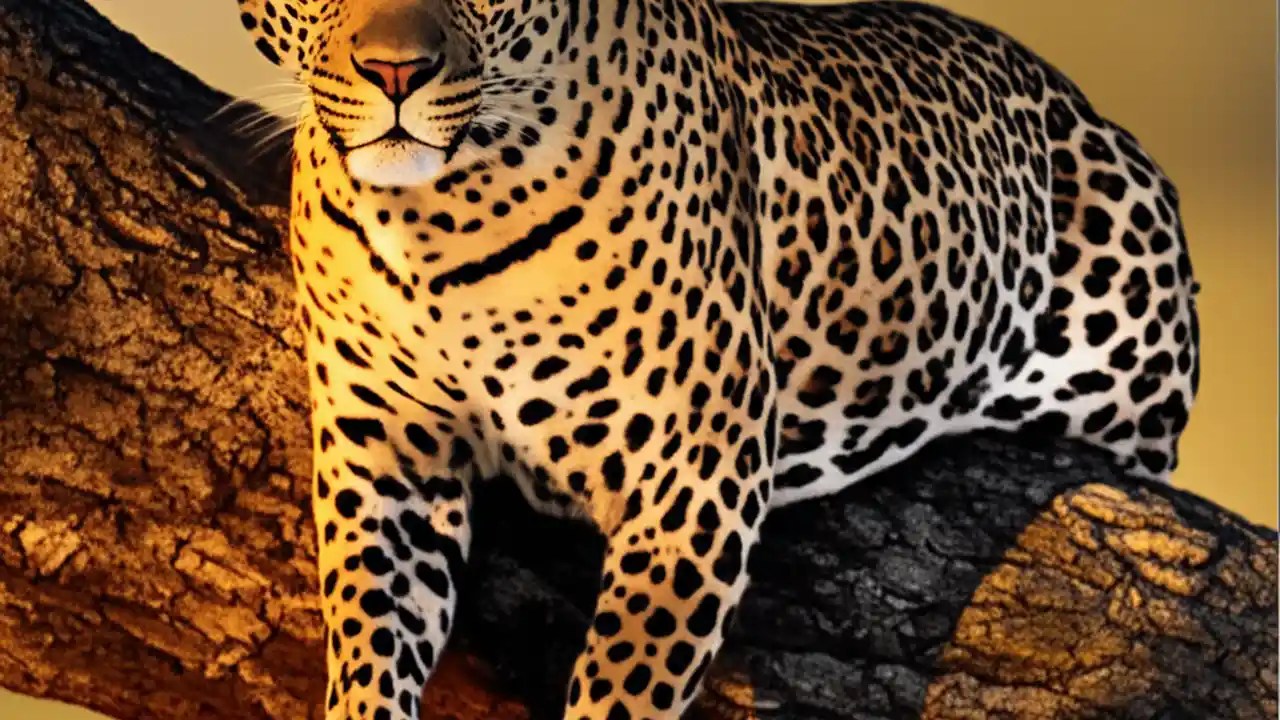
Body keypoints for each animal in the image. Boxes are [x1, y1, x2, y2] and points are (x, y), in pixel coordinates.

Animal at [233, 0, 1200, 717]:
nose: (396, 72)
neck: (437, 220)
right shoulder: (386, 459)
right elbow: (369, 640)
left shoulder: (692, 473)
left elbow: (625, 687)